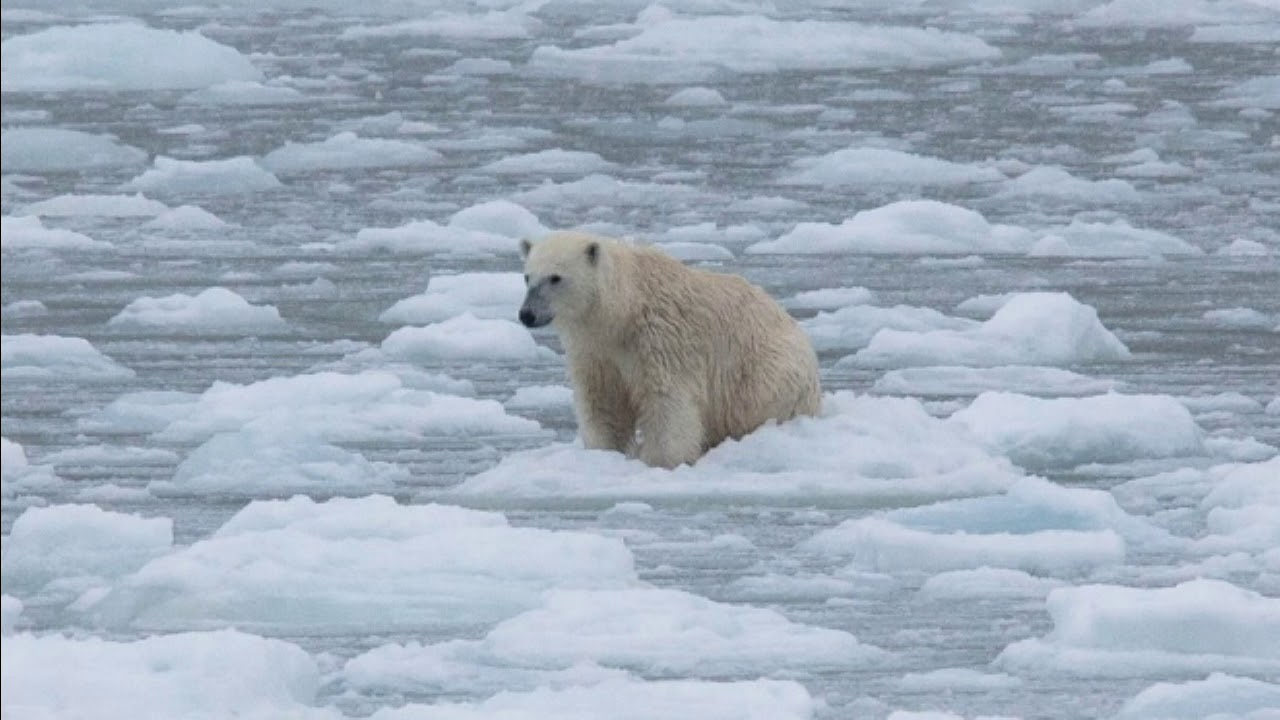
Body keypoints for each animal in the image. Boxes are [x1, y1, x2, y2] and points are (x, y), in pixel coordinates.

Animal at [519, 231, 821, 468]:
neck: (624, 311)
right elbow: (603, 399)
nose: (527, 315)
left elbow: (667, 400)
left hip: (767, 369)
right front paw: (604, 453)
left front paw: (660, 460)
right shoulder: (595, 349)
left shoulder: (660, 337)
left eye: (555, 278)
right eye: (527, 277)